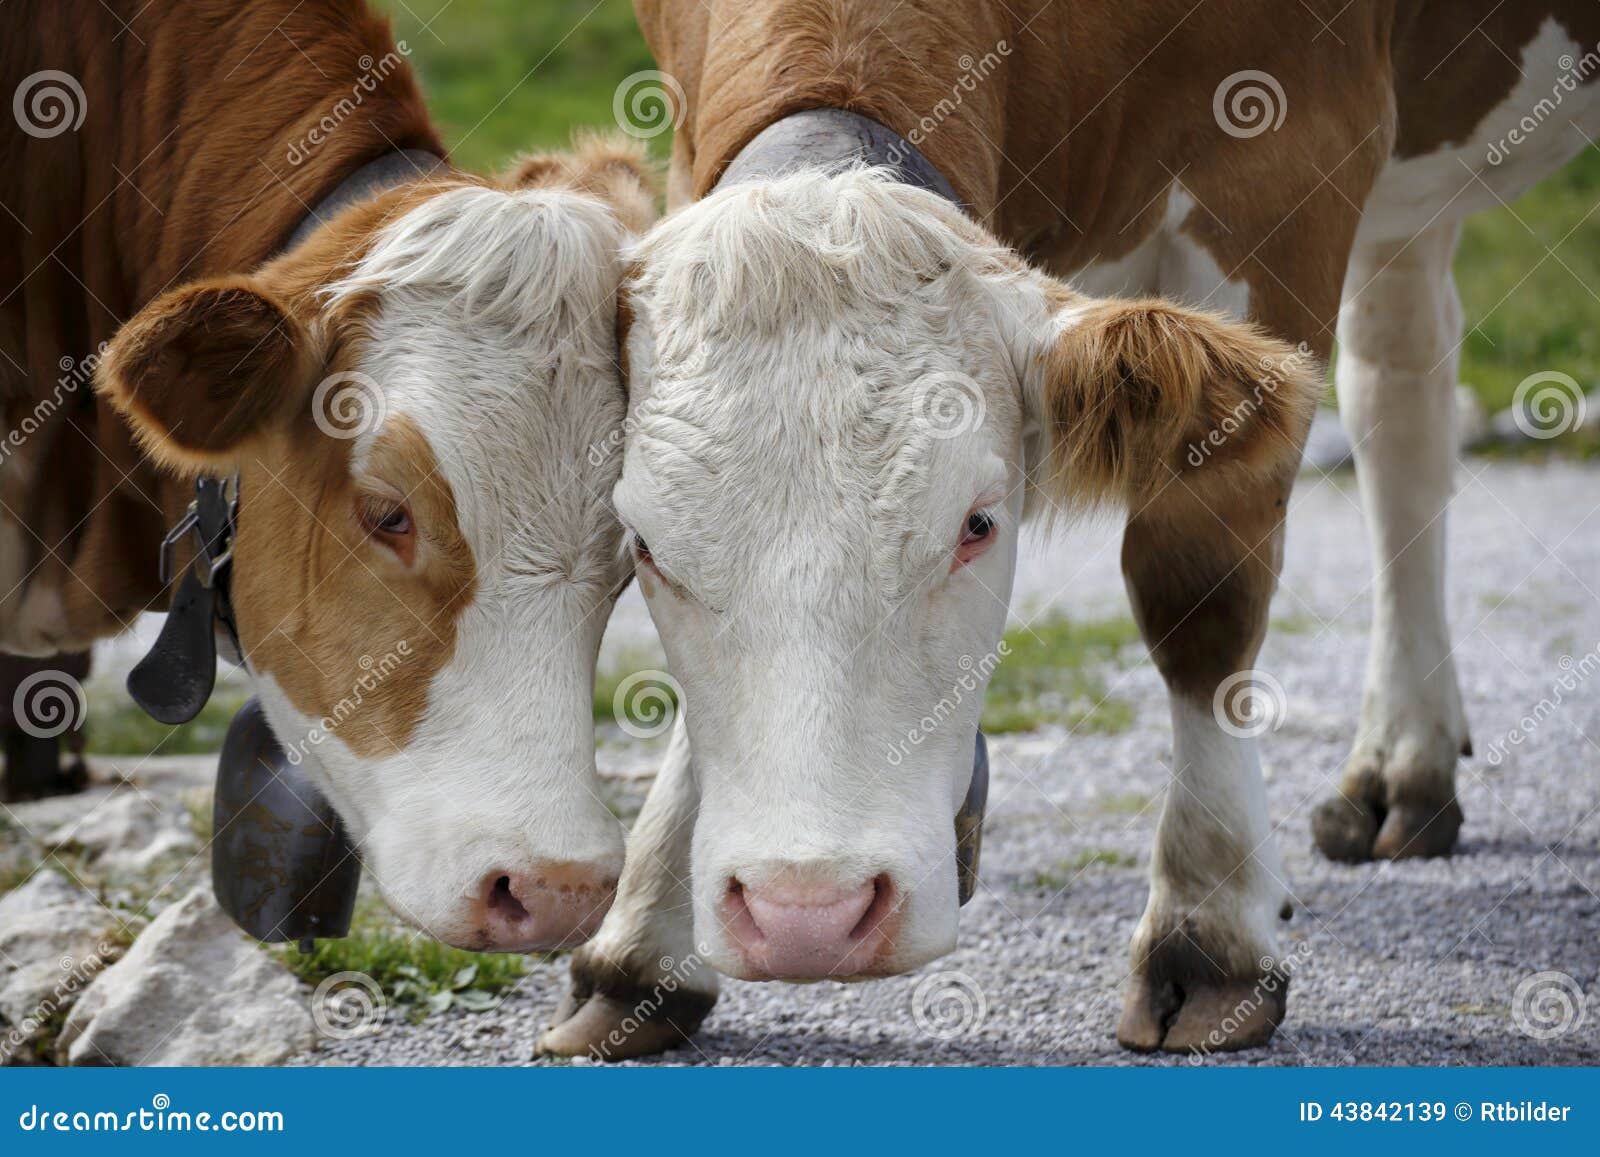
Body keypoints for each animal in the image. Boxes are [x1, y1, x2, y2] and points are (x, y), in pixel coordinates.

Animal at [537, 0, 1600, 1059]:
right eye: (645, 550)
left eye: (979, 524)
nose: (811, 913)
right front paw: (647, 939)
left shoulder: (1289, 157)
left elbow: (1200, 594)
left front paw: (1205, 933)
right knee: (1403, 385)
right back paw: (1405, 763)